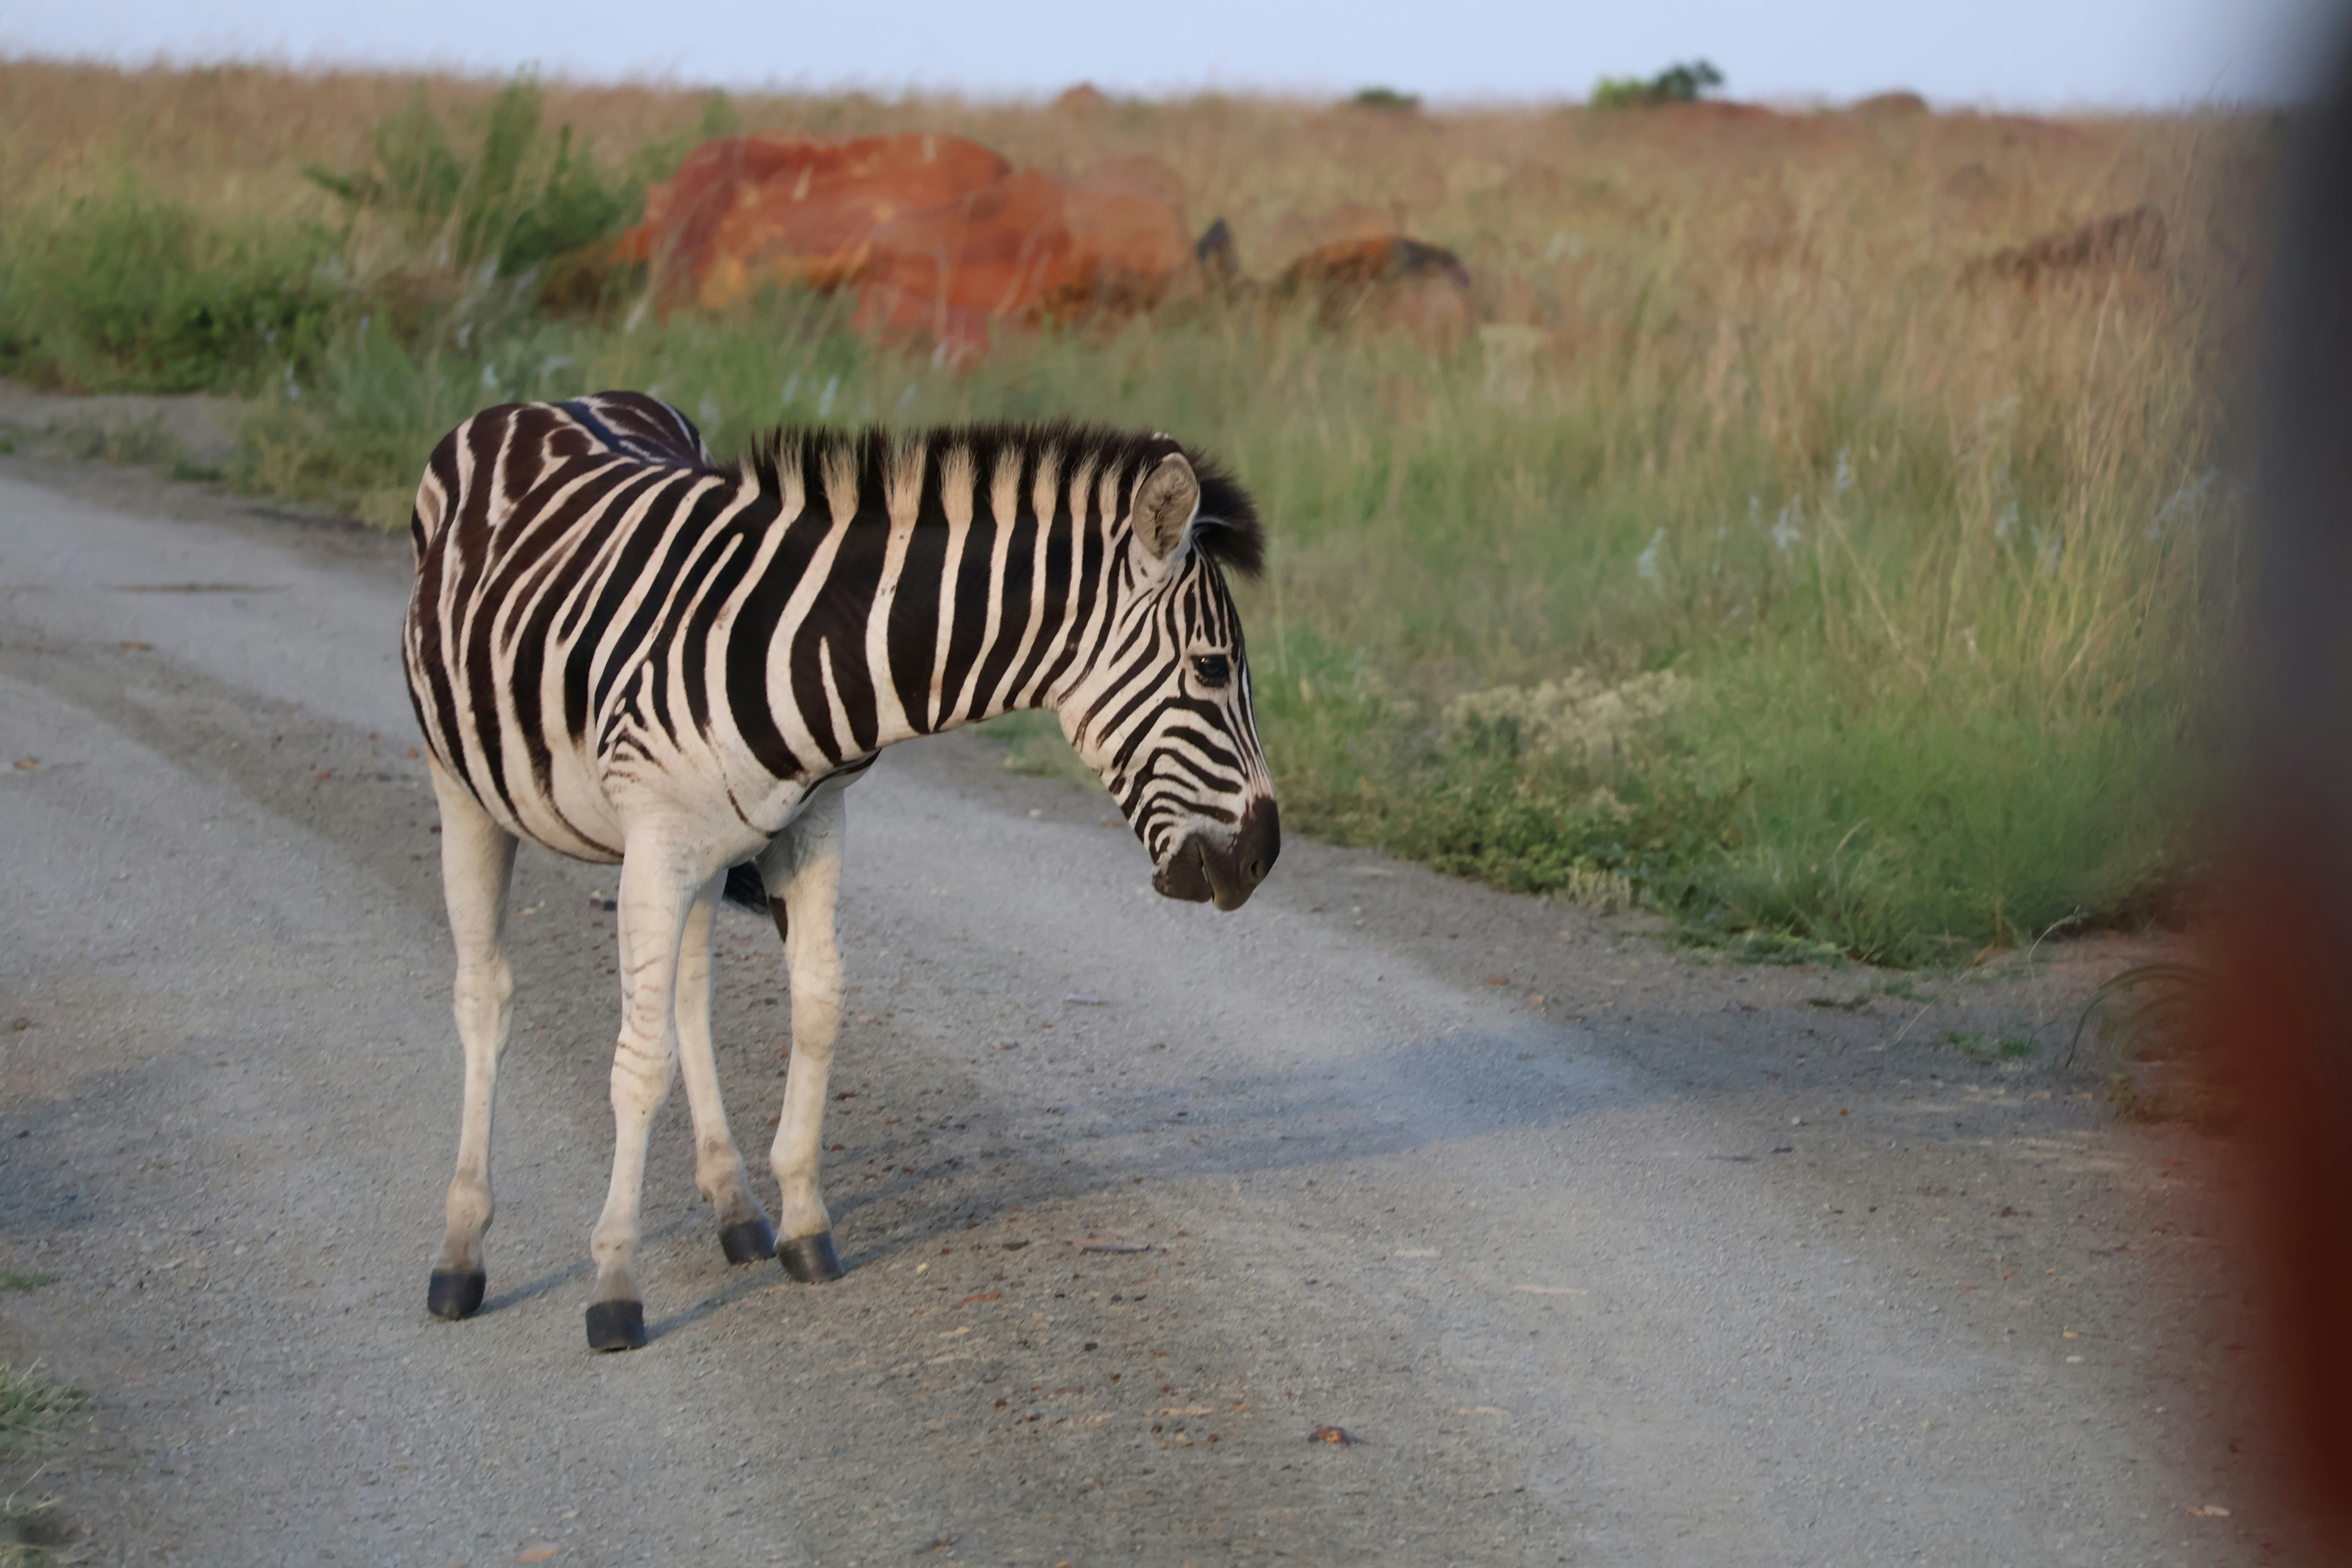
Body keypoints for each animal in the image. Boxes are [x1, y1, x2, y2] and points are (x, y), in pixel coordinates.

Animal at [402, 391, 1278, 1351]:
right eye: (1212, 669)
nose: (1265, 854)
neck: (807, 644)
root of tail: (541, 403)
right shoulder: (657, 837)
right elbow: (637, 1063)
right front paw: (616, 1284)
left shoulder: (809, 823)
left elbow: (817, 1009)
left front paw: (803, 1224)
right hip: (467, 791)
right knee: (485, 998)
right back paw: (460, 1254)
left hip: (704, 845)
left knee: (690, 992)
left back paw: (734, 1208)